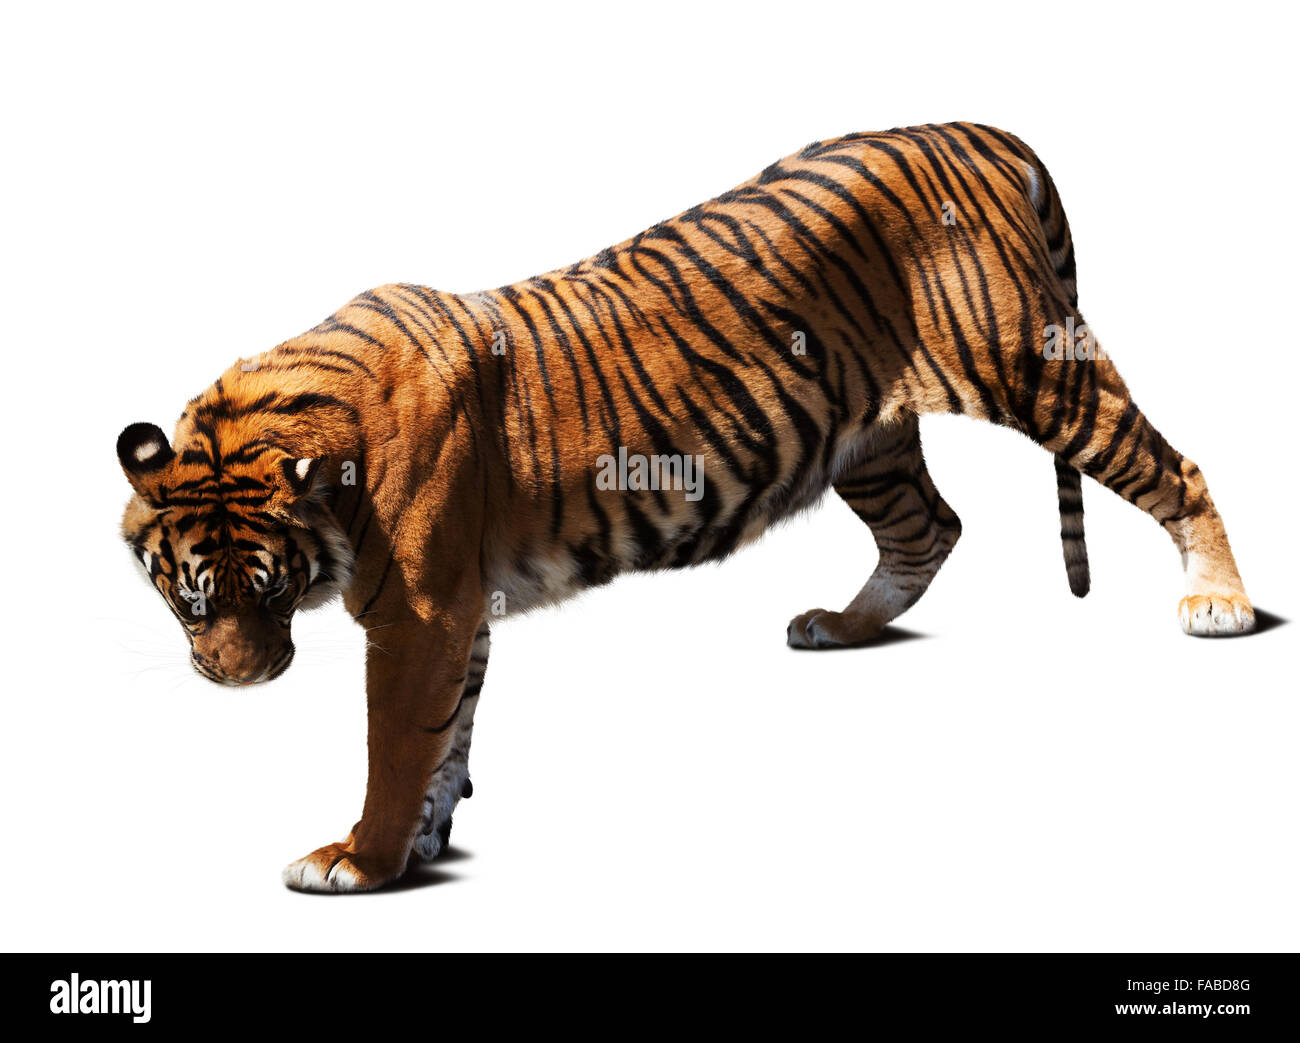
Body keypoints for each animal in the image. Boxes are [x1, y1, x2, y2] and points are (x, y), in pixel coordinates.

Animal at [118, 122, 1255, 893]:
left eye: (269, 586)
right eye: (190, 596)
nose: (238, 680)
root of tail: (977, 127)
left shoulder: (419, 613)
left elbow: (398, 741)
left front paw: (359, 857)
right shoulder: (461, 609)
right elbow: (453, 732)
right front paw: (431, 834)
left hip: (1031, 367)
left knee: (1176, 468)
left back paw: (1220, 605)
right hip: (867, 435)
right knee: (930, 526)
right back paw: (839, 625)